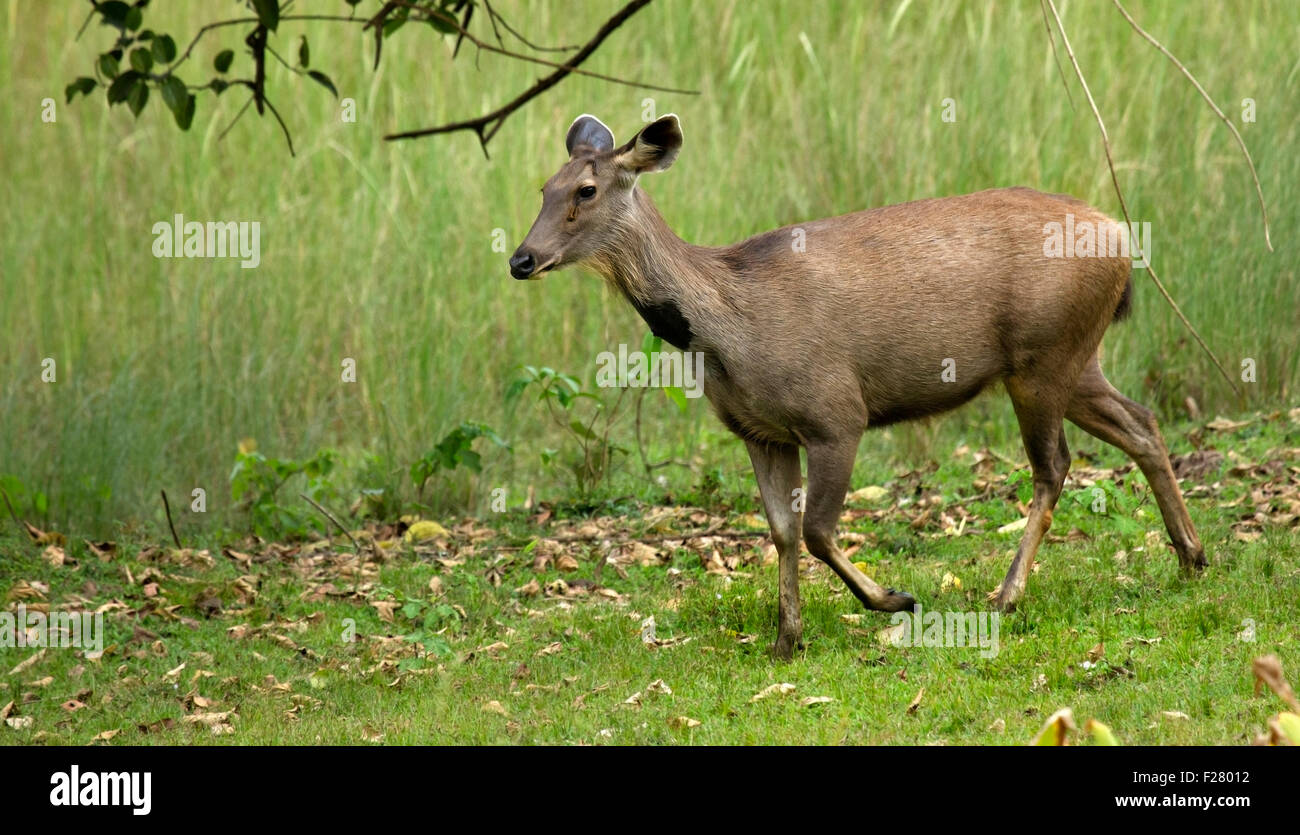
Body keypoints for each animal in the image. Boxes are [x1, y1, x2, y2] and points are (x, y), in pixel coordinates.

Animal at [509, 113, 1207, 660]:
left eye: (587, 190)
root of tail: (1120, 238)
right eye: (543, 187)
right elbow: (782, 532)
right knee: (1142, 423)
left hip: (1045, 356)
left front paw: (896, 599)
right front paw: (785, 640)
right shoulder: (759, 432)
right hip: (1073, 359)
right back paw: (1191, 557)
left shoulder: (836, 413)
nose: (520, 258)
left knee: (1053, 465)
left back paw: (1008, 594)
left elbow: (818, 529)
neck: (728, 328)